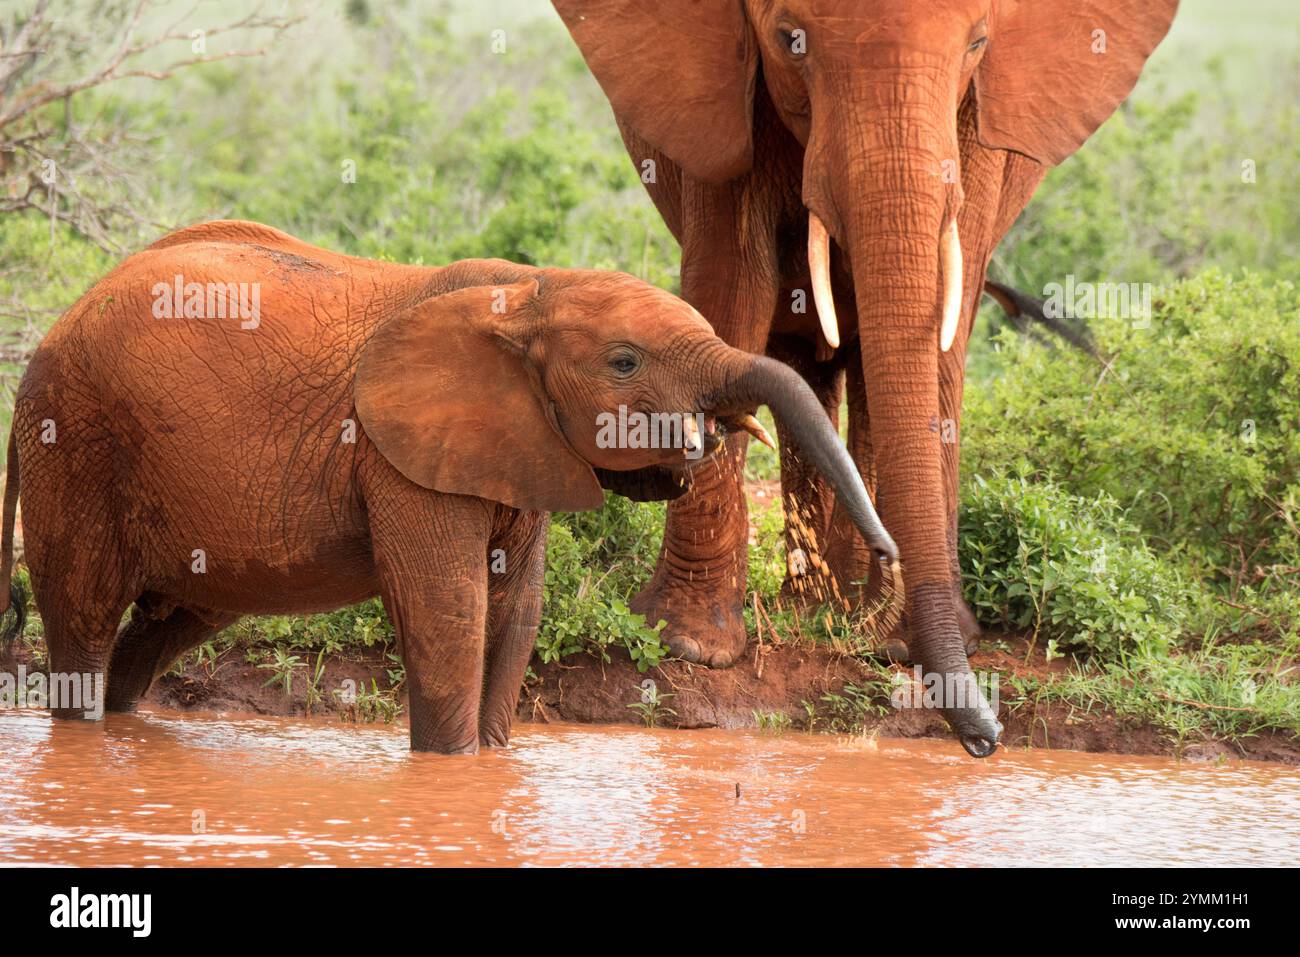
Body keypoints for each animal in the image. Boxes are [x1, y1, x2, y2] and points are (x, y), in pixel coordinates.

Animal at [0, 219, 897, 754]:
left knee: (168, 622)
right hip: (75, 444)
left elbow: (516, 607)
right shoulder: (398, 454)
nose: (886, 558)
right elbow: (449, 607)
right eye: (624, 361)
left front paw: (490, 762)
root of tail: (51, 330)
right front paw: (452, 766)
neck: (529, 292)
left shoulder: (518, 440)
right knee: (83, 618)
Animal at [554, 0, 1178, 755]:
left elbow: (945, 315)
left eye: (978, 44)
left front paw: (898, 640)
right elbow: (731, 285)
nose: (985, 740)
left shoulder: (979, 131)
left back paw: (847, 606)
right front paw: (688, 645)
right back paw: (819, 606)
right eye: (791, 40)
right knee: (807, 362)